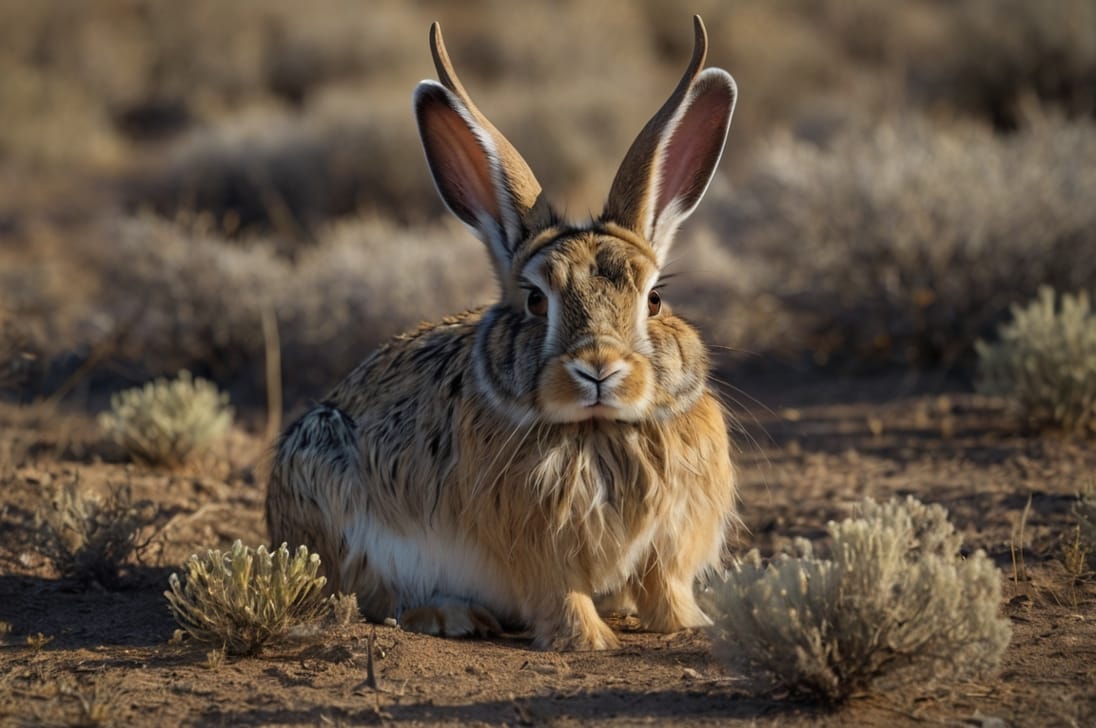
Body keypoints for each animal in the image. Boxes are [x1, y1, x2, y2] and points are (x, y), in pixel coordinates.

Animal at [266, 15, 738, 651]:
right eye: (536, 301)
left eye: (655, 298)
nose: (599, 368)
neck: (598, 430)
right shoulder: (541, 553)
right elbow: (561, 595)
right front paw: (588, 641)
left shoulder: (667, 546)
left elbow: (665, 588)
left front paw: (691, 624)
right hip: (328, 482)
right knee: (369, 598)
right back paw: (452, 615)